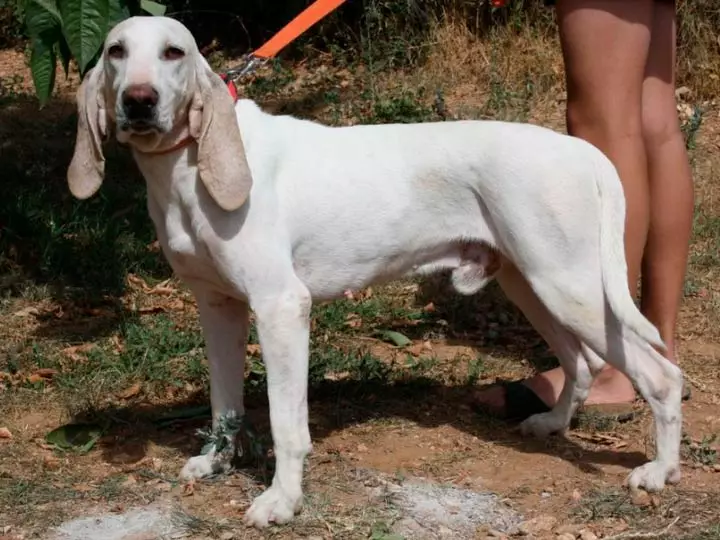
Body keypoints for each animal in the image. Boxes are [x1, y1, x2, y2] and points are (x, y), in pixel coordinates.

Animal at [66, 15, 680, 528]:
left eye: (173, 52)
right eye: (117, 51)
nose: (138, 101)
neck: (191, 164)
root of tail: (582, 151)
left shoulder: (281, 308)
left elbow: (287, 424)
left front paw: (281, 500)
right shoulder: (218, 308)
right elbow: (225, 403)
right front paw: (216, 463)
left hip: (569, 288)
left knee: (661, 375)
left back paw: (659, 471)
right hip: (532, 284)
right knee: (582, 361)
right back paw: (552, 425)